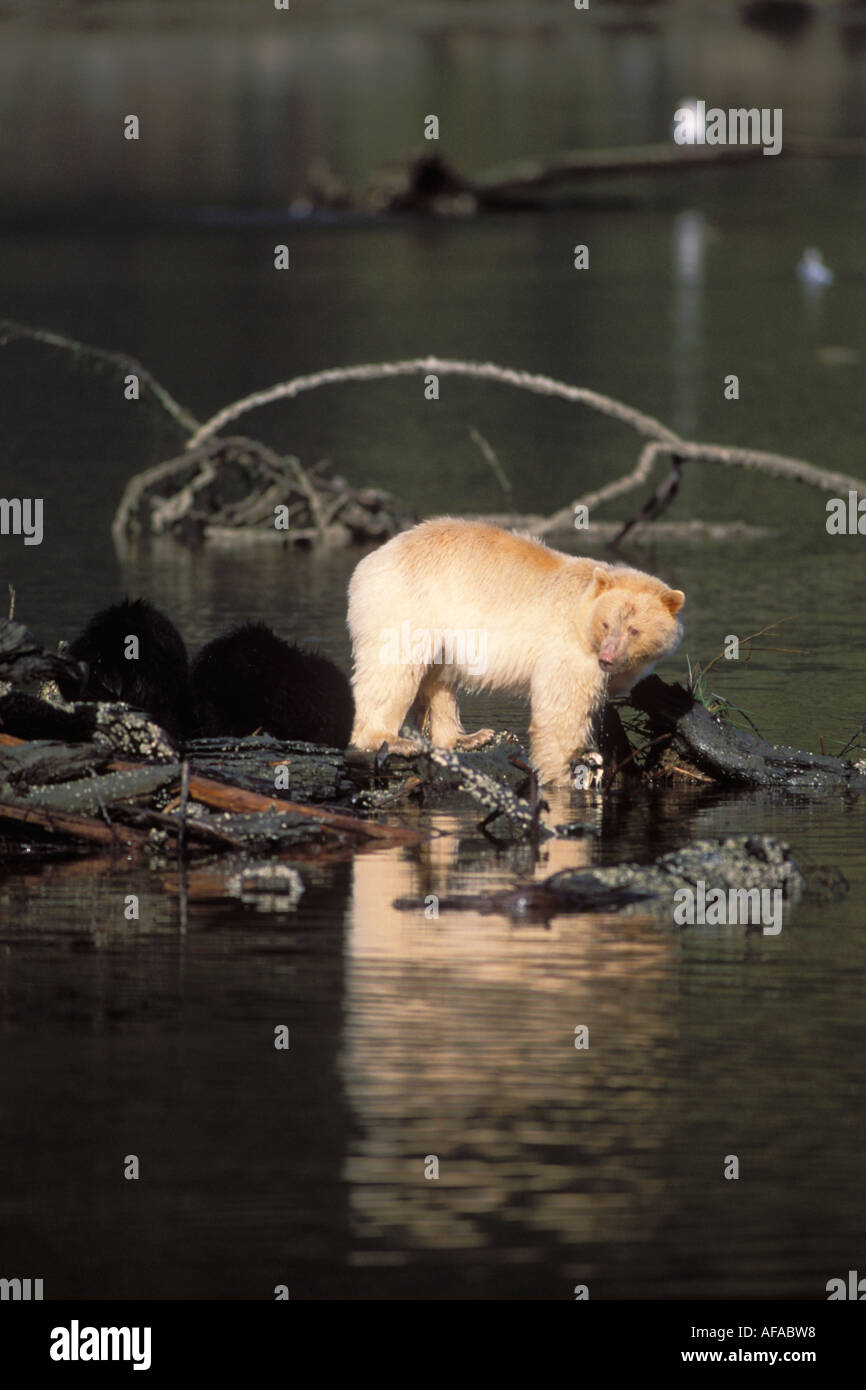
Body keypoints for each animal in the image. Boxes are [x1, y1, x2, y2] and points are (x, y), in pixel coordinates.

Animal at [347, 518, 685, 786]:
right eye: (606, 624)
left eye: (634, 630)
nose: (608, 658)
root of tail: (369, 563)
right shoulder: (568, 648)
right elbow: (560, 708)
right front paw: (566, 769)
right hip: (406, 605)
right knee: (392, 670)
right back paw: (389, 739)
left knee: (440, 678)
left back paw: (465, 737)